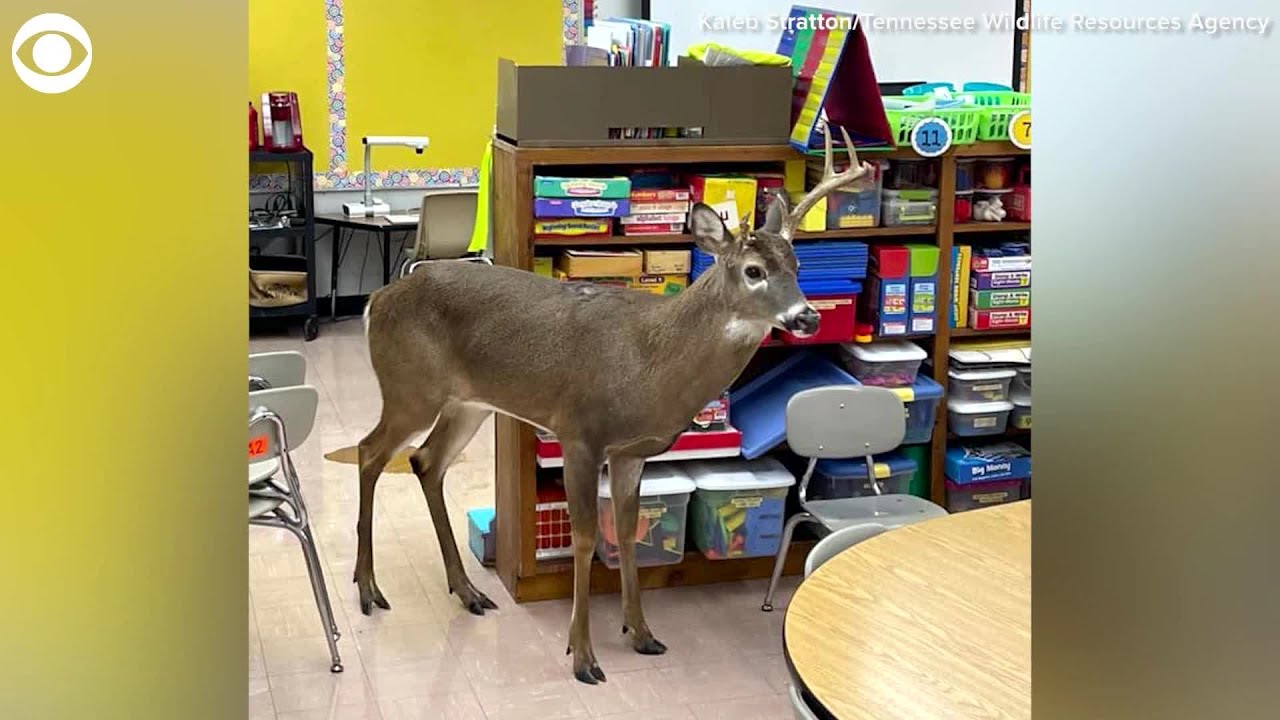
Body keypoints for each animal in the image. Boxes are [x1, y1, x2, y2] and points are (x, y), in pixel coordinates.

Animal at [354, 126, 871, 685]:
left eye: (797, 265)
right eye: (754, 270)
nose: (807, 318)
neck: (649, 362)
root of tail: (376, 300)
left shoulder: (630, 451)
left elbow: (624, 531)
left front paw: (641, 633)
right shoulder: (579, 432)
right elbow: (583, 537)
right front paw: (583, 656)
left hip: (467, 403)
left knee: (426, 462)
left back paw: (468, 592)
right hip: (409, 388)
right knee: (369, 452)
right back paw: (368, 590)